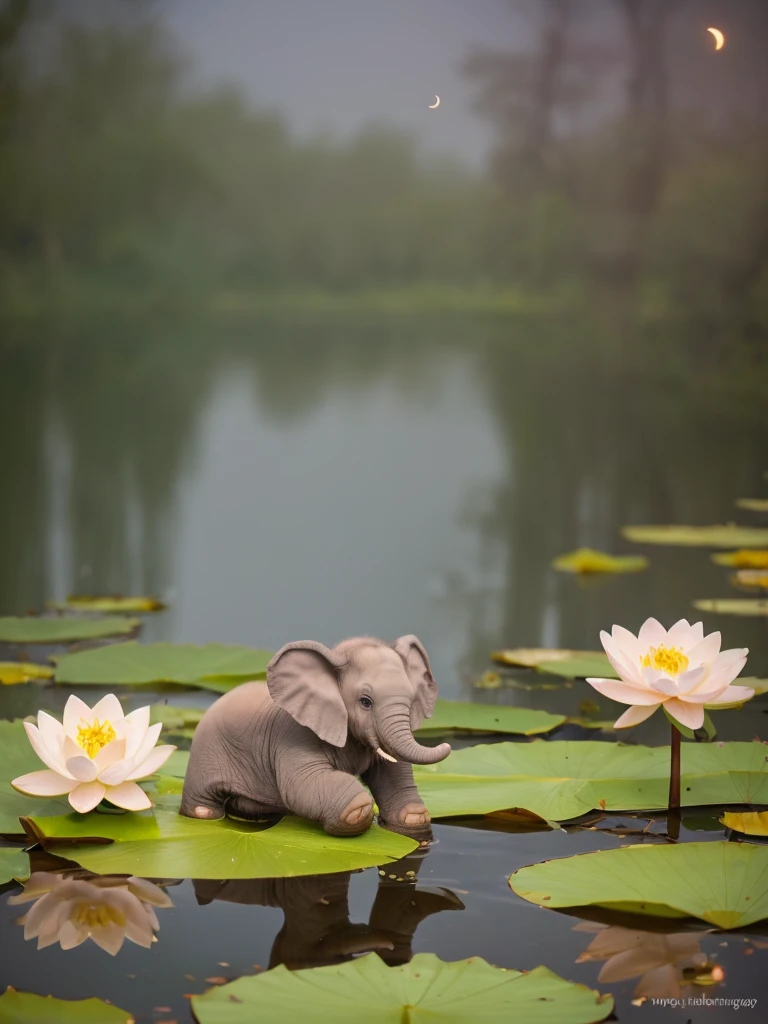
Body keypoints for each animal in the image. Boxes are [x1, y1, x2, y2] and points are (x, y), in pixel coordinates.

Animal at [180, 635, 451, 839]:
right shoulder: (294, 735)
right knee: (204, 808)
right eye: (365, 702)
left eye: (411, 699)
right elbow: (301, 787)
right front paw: (358, 811)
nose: (447, 744)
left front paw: (412, 819)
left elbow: (395, 780)